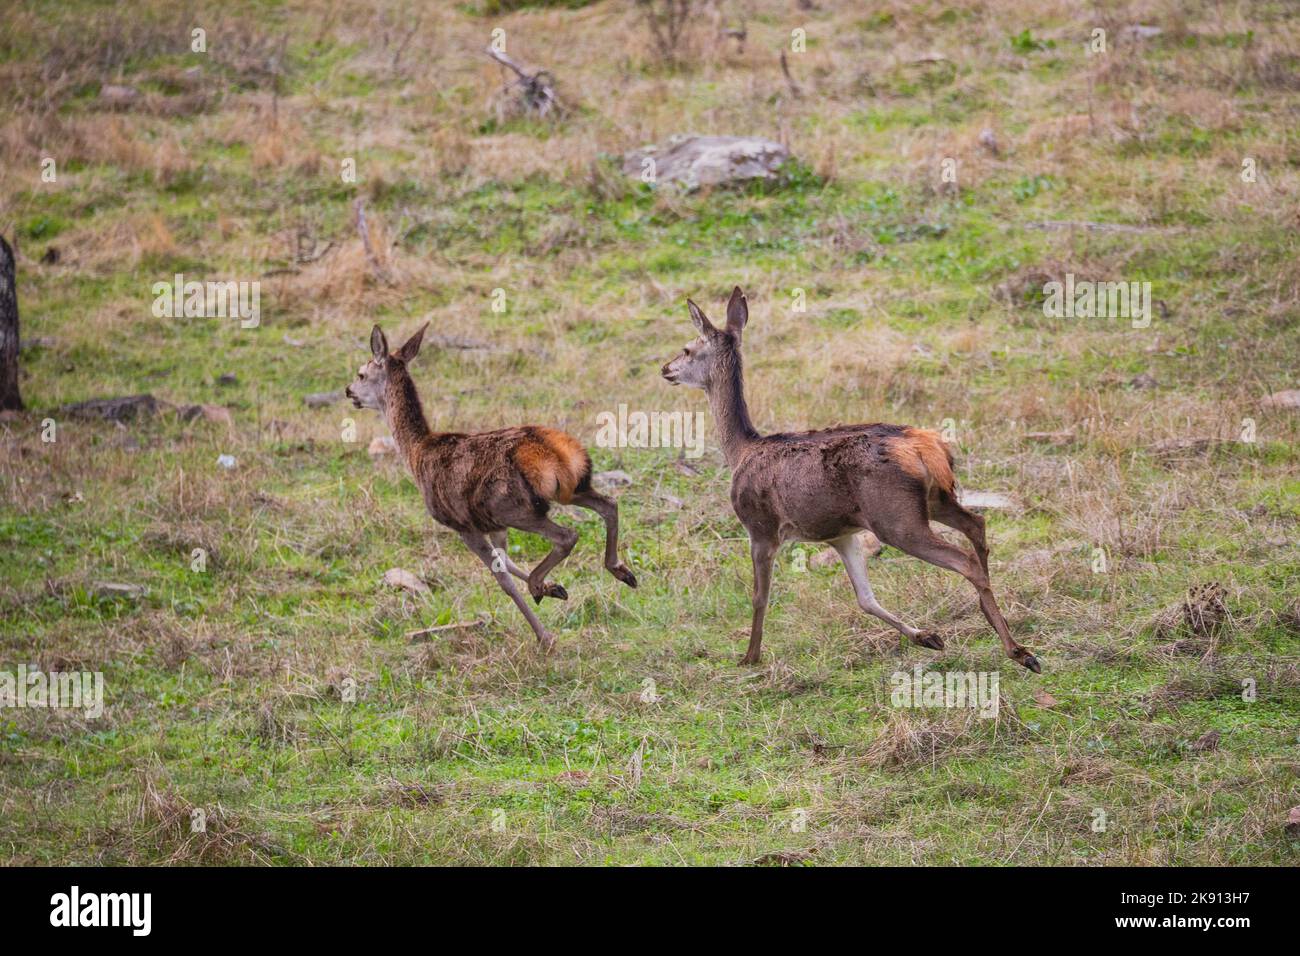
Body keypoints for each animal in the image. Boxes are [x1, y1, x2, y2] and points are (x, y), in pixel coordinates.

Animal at [346, 323, 638, 651]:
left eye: (361, 373)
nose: (349, 391)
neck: (416, 454)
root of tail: (556, 454)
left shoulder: (463, 524)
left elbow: (503, 578)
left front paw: (544, 634)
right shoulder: (494, 525)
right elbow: (507, 560)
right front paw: (555, 588)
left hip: (515, 507)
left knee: (567, 535)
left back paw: (538, 585)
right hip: (571, 489)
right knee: (609, 504)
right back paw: (620, 571)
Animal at [661, 287, 1040, 673]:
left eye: (687, 349)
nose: (666, 368)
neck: (740, 451)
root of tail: (926, 447)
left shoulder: (760, 526)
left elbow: (759, 596)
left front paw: (749, 656)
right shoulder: (839, 533)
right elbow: (865, 597)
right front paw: (926, 636)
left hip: (896, 519)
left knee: (965, 558)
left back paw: (1019, 651)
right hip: (935, 500)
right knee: (977, 524)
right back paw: (998, 620)